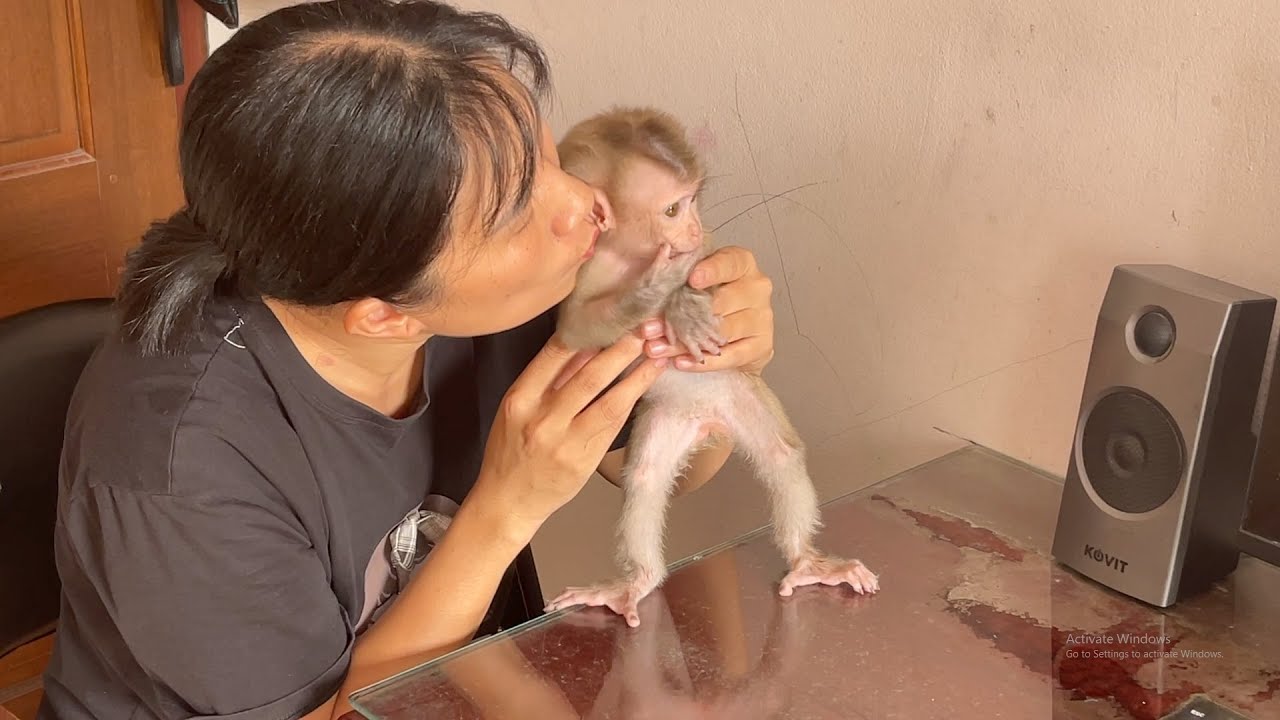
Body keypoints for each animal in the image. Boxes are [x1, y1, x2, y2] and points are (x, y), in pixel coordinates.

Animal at [545, 107, 879, 628]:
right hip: (667, 420)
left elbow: (709, 269)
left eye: (694, 203)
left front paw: (682, 299)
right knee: (645, 480)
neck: (626, 255)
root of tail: (707, 422)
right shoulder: (581, 272)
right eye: (671, 210)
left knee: (781, 456)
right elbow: (577, 330)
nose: (692, 229)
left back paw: (806, 560)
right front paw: (657, 288)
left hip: (739, 395)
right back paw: (638, 581)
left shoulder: (704, 252)